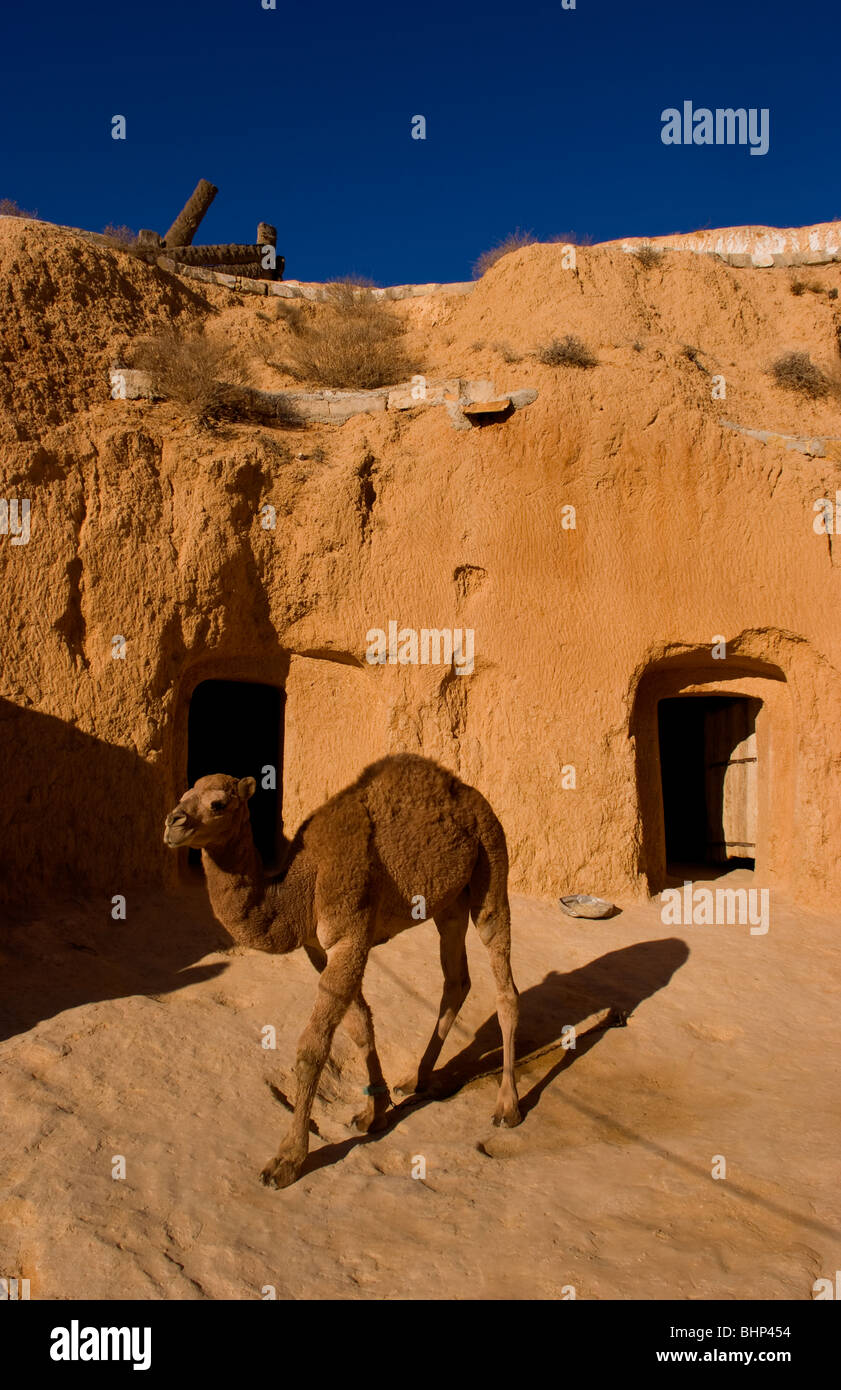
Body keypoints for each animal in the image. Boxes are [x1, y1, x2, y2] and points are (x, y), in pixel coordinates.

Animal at [163, 753, 521, 1188]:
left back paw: (507, 1107)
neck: (300, 887)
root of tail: (474, 797)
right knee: (457, 980)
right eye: (184, 793)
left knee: (504, 982)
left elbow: (312, 1048)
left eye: (218, 803)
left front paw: (287, 1159)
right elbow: (359, 1025)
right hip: (448, 901)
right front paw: (374, 1113)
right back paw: (417, 1079)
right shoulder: (319, 948)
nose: (173, 823)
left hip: (492, 860)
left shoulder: (348, 935)